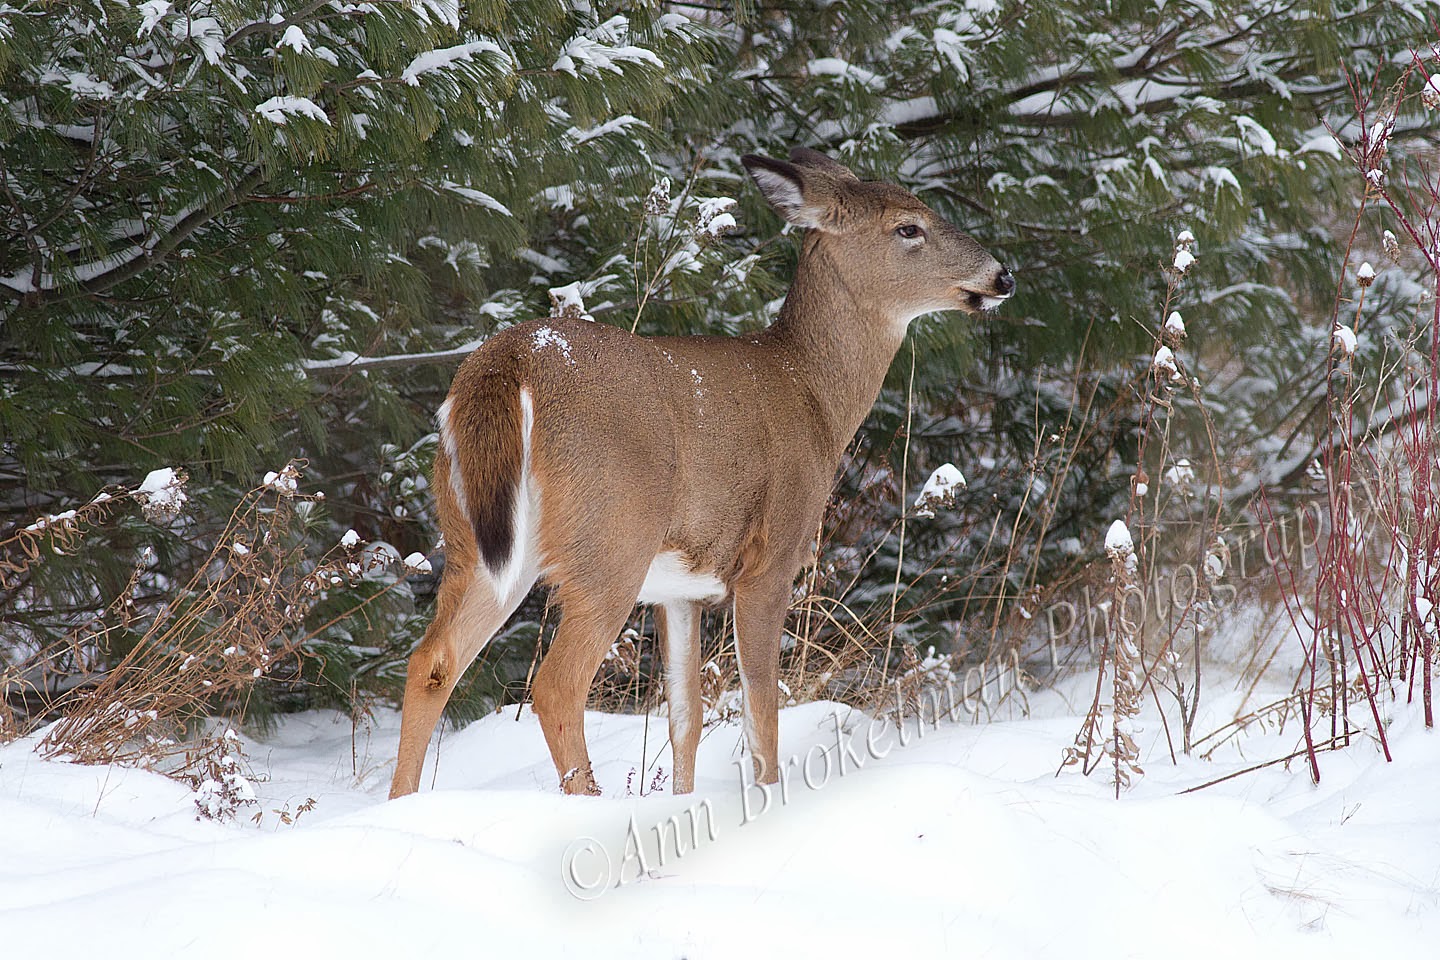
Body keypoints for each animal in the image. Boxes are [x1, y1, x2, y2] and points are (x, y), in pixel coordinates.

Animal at [388, 147, 1014, 799]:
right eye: (909, 227)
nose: (1002, 277)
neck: (813, 396)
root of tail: (507, 363)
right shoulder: (772, 556)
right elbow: (761, 712)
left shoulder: (678, 588)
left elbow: (684, 717)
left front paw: (681, 799)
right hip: (610, 537)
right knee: (557, 684)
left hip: (475, 537)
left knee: (431, 661)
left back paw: (402, 802)